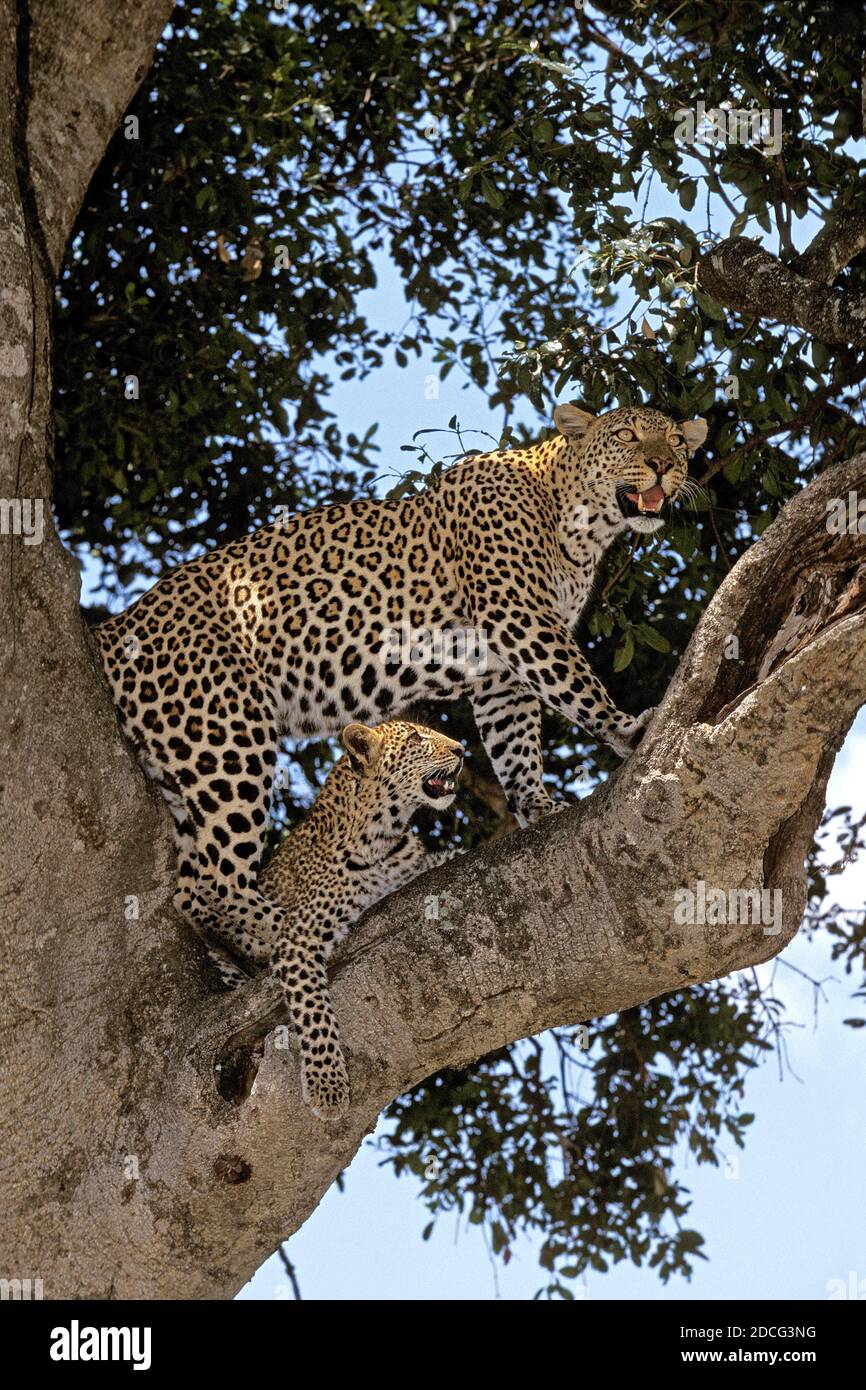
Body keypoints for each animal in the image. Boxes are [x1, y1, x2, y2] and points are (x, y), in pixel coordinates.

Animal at [95, 402, 707, 1021]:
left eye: (677, 443)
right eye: (627, 435)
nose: (662, 464)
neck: (579, 523)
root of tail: (113, 629)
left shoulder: (498, 669)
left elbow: (514, 741)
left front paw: (536, 804)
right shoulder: (521, 619)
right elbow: (576, 684)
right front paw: (625, 728)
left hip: (181, 761)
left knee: (188, 882)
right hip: (227, 734)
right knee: (208, 884)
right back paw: (279, 930)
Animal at [222, 719, 463, 1118]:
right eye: (418, 738)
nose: (461, 749)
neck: (381, 838)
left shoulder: (410, 871)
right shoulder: (298, 937)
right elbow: (314, 1012)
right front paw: (327, 1086)